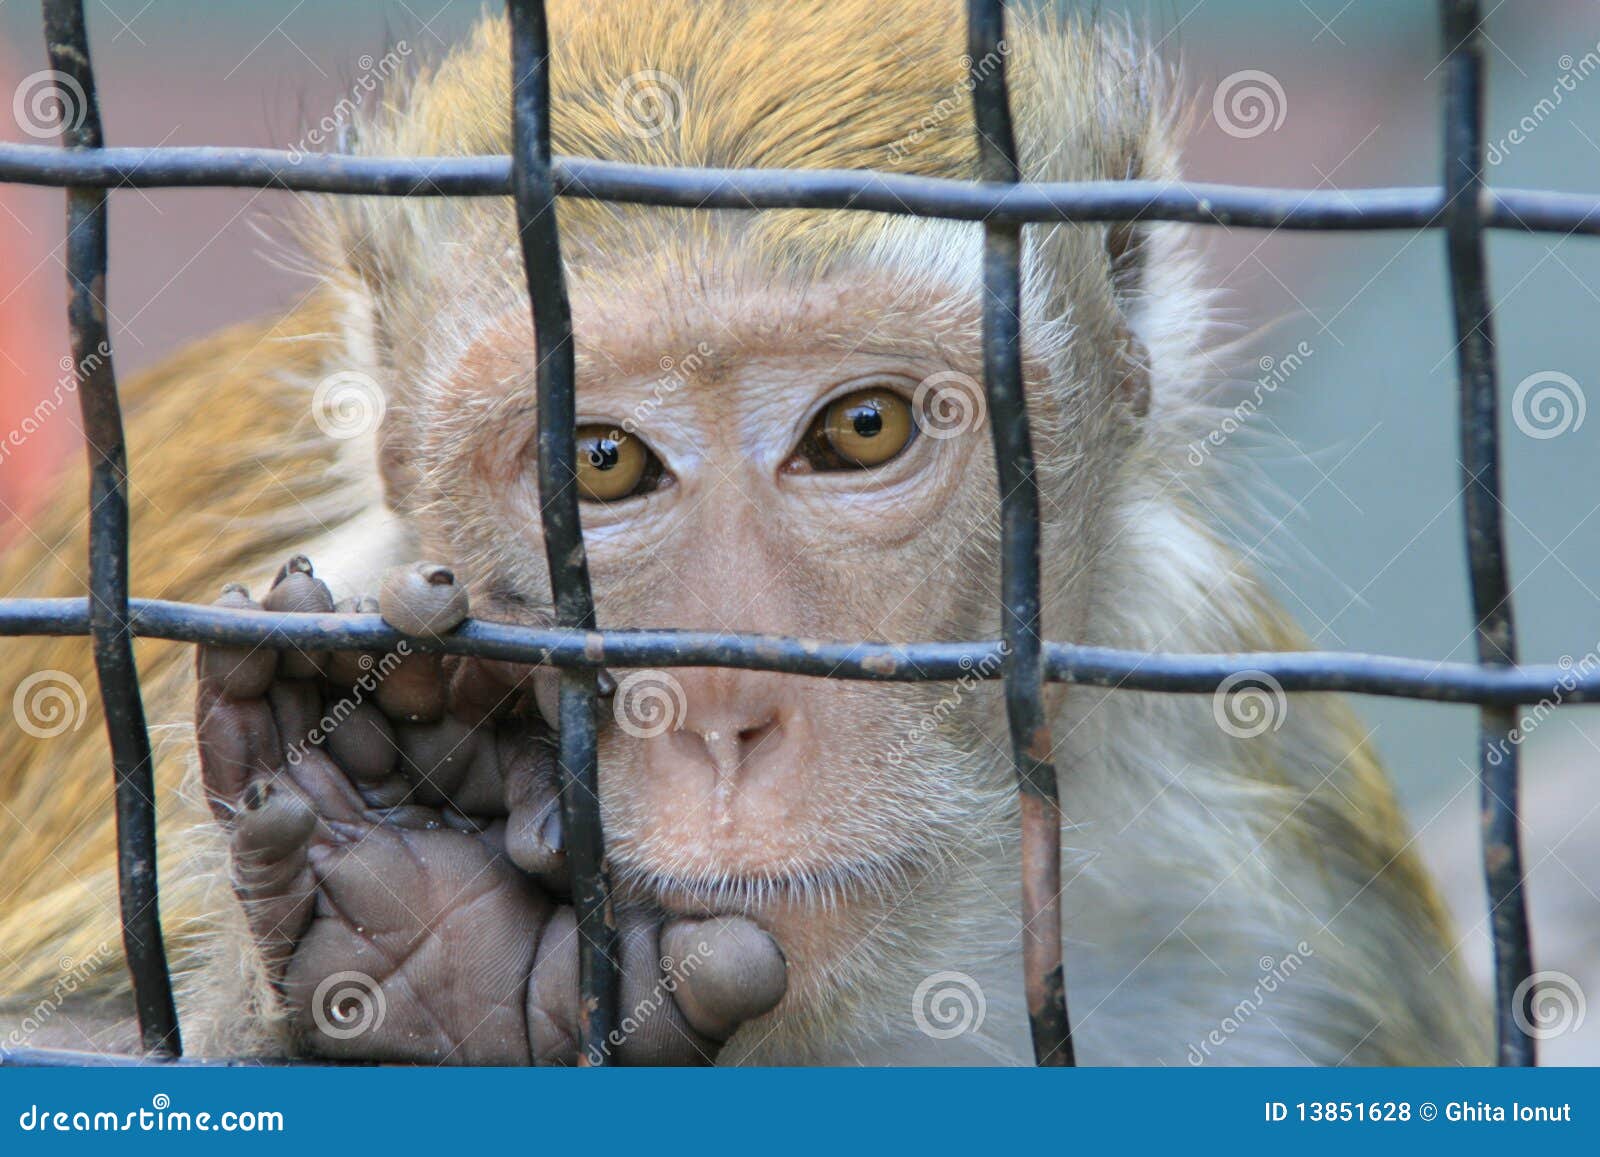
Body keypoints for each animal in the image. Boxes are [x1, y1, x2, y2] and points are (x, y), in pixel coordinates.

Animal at [0, 0, 1490, 1065]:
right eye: (599, 461)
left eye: (864, 428)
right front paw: (429, 941)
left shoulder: (1268, 888)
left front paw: (436, 940)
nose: (723, 707)